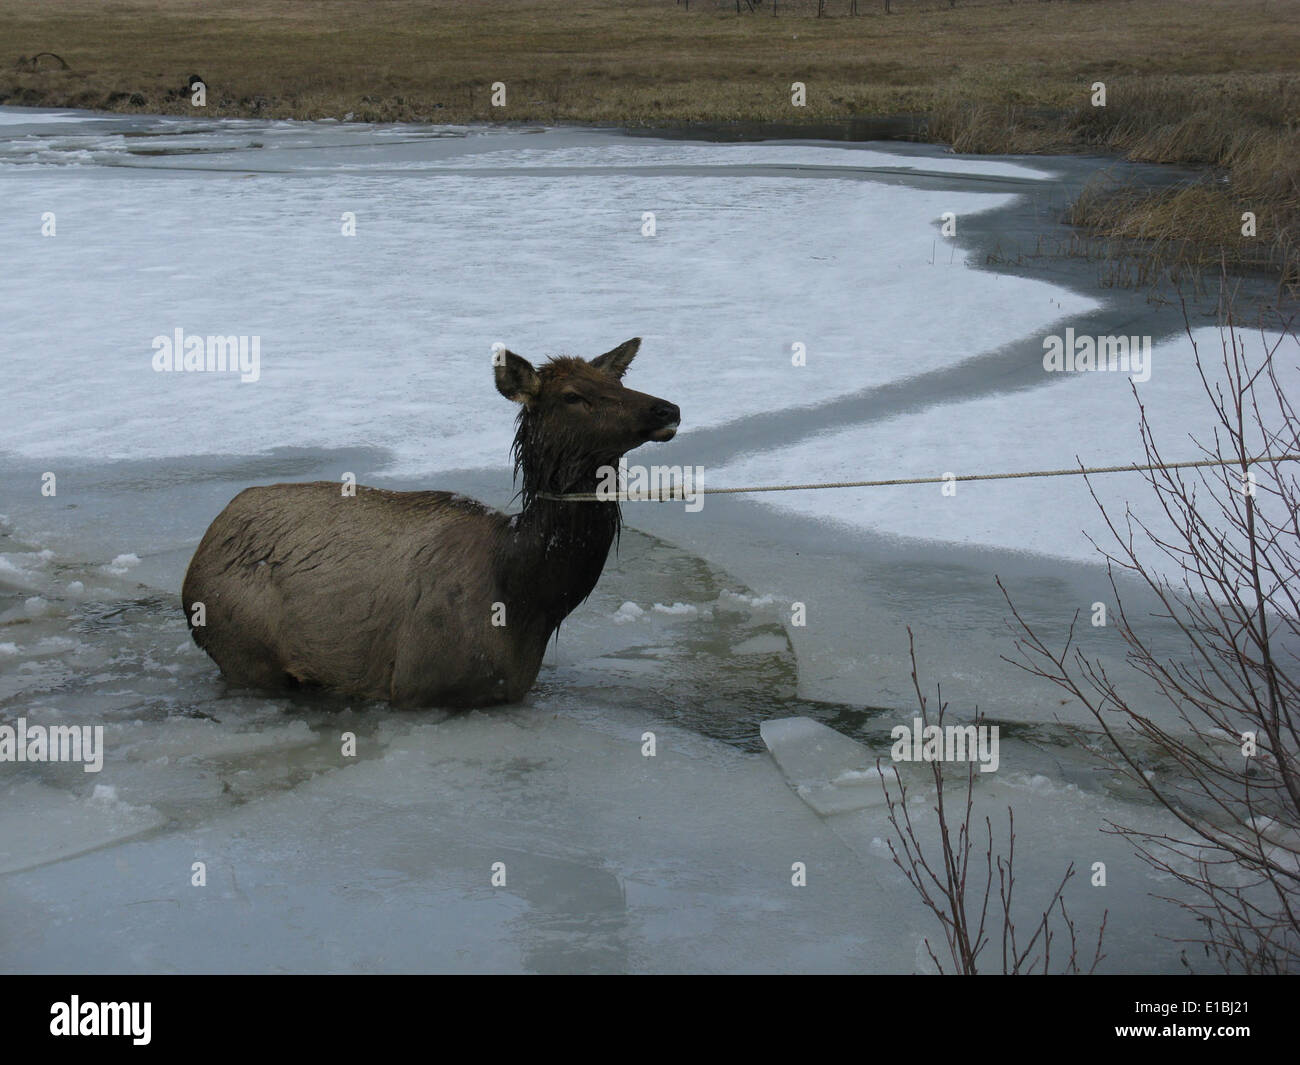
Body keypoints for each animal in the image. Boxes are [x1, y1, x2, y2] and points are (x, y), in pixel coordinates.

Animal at [181, 338, 680, 708]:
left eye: (616, 379)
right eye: (573, 396)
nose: (667, 409)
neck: (527, 597)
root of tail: (202, 552)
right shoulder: (417, 684)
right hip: (244, 651)